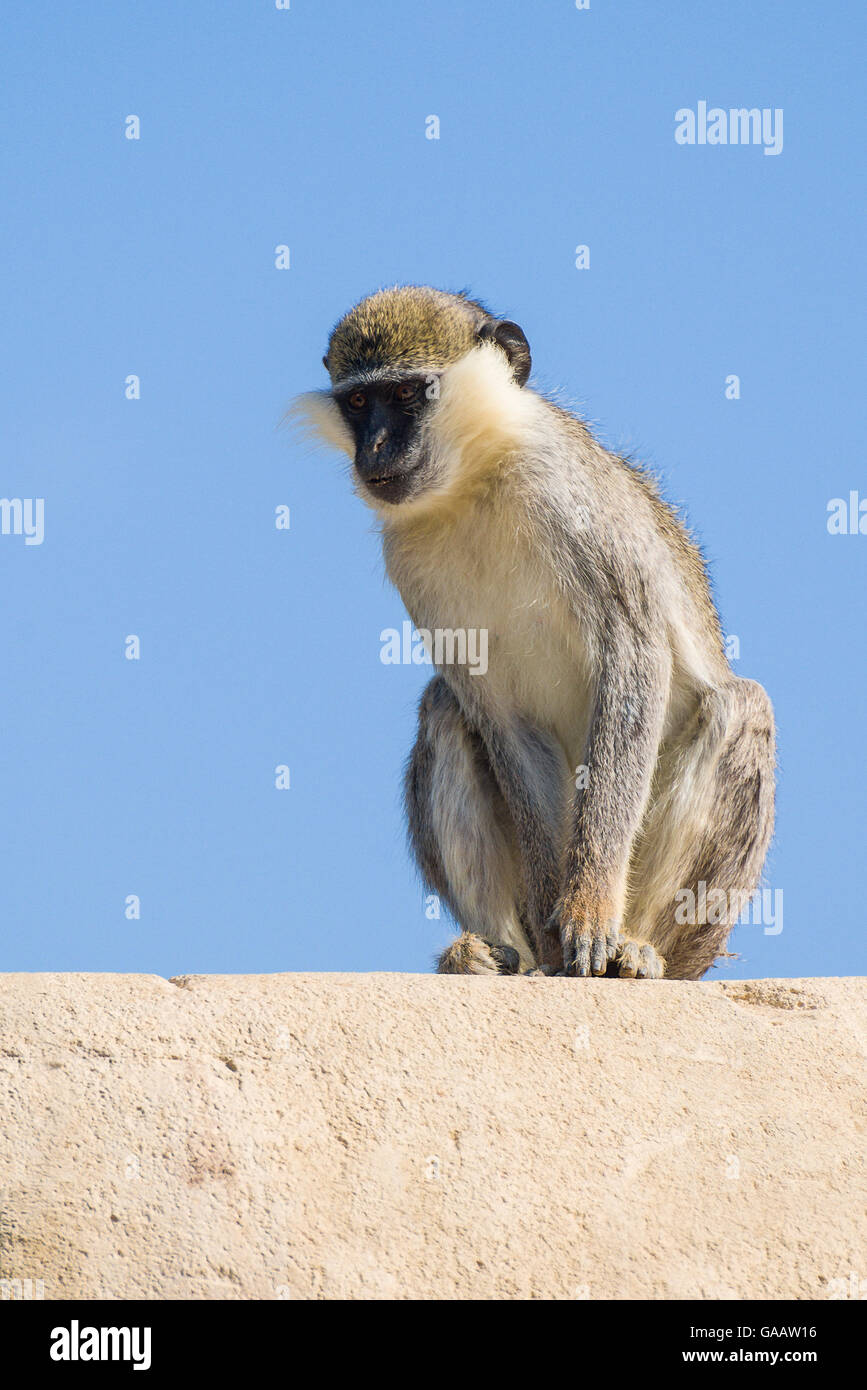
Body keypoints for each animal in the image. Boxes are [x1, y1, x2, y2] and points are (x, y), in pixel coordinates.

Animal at [295, 285, 775, 980]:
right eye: (359, 402)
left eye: (408, 393)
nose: (375, 450)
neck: (477, 479)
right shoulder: (407, 560)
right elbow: (499, 716)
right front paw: (555, 937)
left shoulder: (573, 499)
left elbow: (634, 657)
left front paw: (589, 910)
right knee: (446, 707)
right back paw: (492, 953)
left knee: (740, 705)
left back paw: (642, 949)